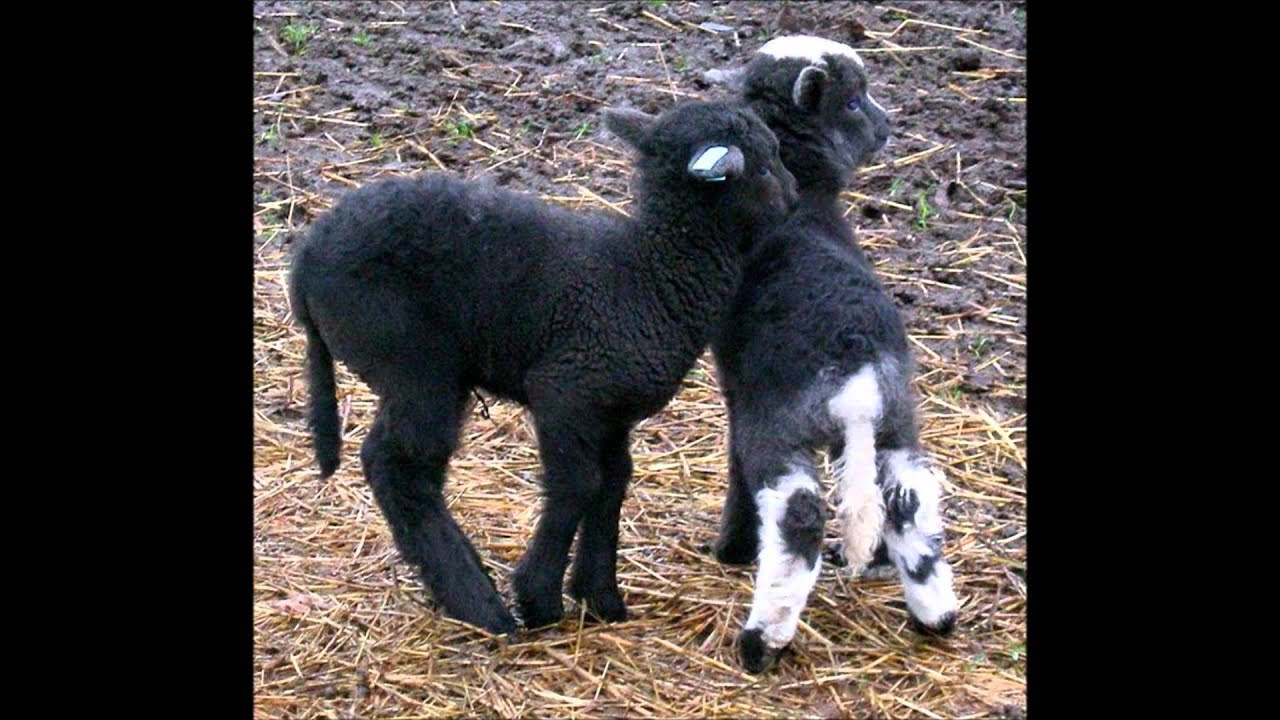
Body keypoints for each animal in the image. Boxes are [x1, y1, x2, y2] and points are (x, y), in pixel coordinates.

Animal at [288, 99, 798, 637]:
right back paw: (482, 606)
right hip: (414, 363)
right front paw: (540, 599)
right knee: (399, 469)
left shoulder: (610, 413)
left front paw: (600, 597)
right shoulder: (566, 390)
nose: (793, 198)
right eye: (764, 166)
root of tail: (305, 261)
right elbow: (578, 484)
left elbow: (613, 484)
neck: (649, 277)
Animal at [703, 36, 960, 672]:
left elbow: (736, 467)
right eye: (852, 102)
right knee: (907, 498)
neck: (802, 203)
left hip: (781, 426)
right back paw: (935, 615)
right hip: (895, 421)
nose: (888, 126)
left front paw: (731, 549)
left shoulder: (740, 393)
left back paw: (762, 640)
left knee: (797, 519)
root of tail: (857, 359)